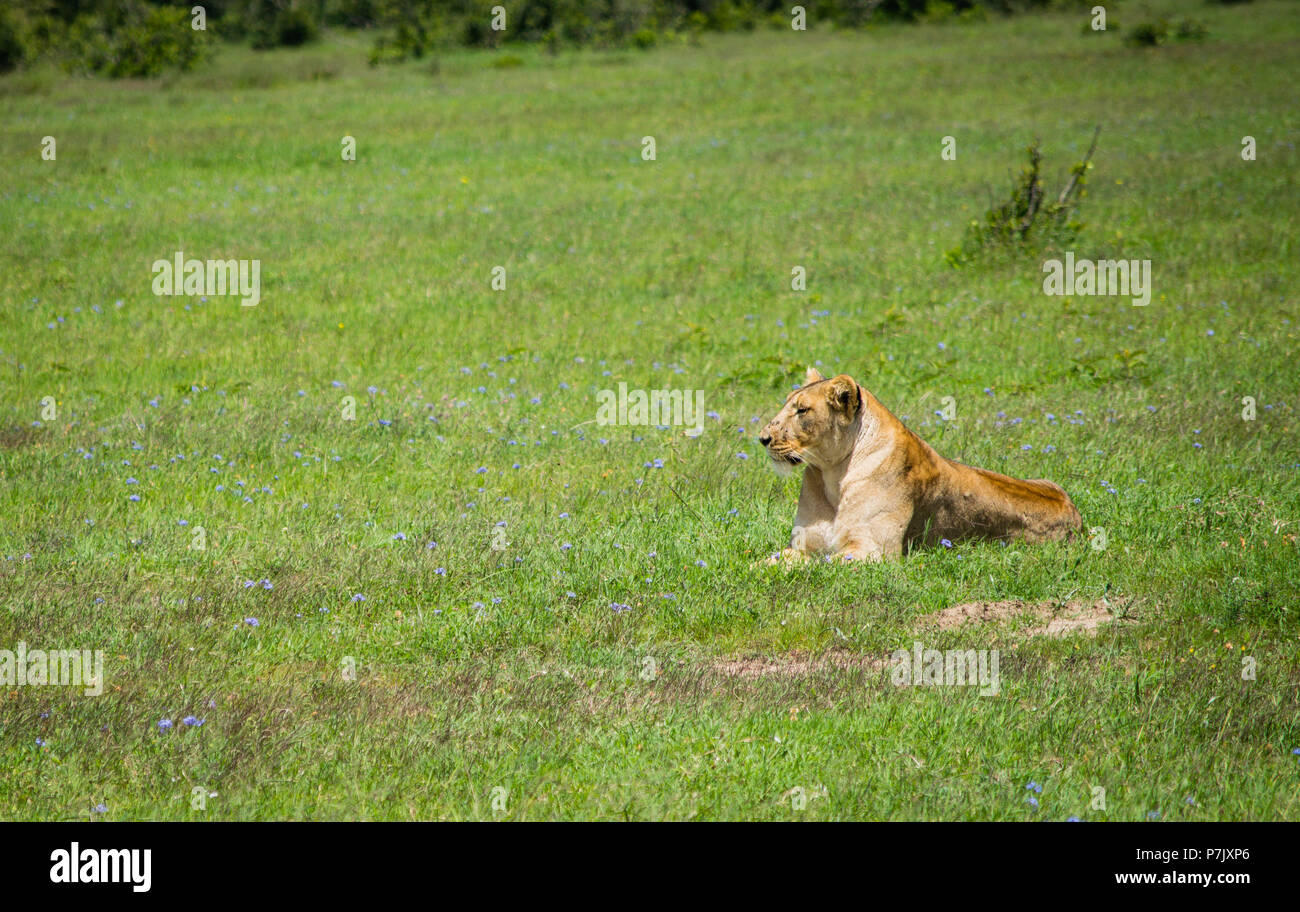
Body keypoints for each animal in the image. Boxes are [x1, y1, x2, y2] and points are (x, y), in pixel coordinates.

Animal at [758, 367, 1082, 562]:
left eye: (802, 410)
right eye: (787, 403)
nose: (762, 438)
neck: (832, 477)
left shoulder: (874, 551)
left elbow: (821, 565)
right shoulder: (801, 547)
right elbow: (766, 562)